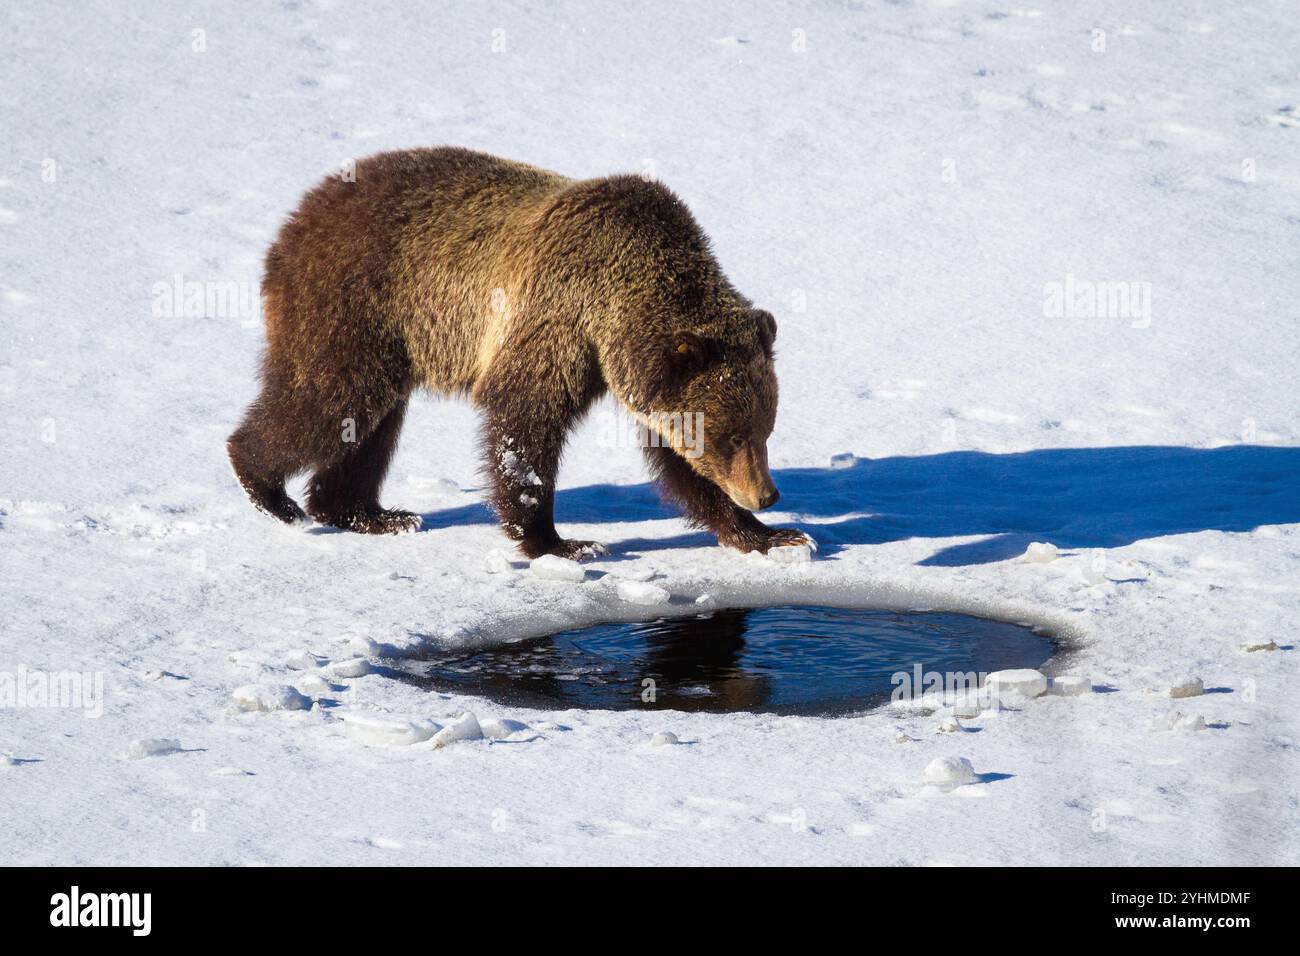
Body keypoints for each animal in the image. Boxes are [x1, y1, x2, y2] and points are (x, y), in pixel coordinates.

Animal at [228, 147, 811, 559]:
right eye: (734, 435)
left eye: (765, 429)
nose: (767, 495)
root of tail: (300, 215)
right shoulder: (559, 316)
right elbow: (524, 424)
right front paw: (560, 541)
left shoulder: (638, 371)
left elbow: (677, 455)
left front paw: (773, 535)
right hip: (355, 303)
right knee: (330, 401)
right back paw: (268, 488)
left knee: (370, 424)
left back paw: (371, 512)